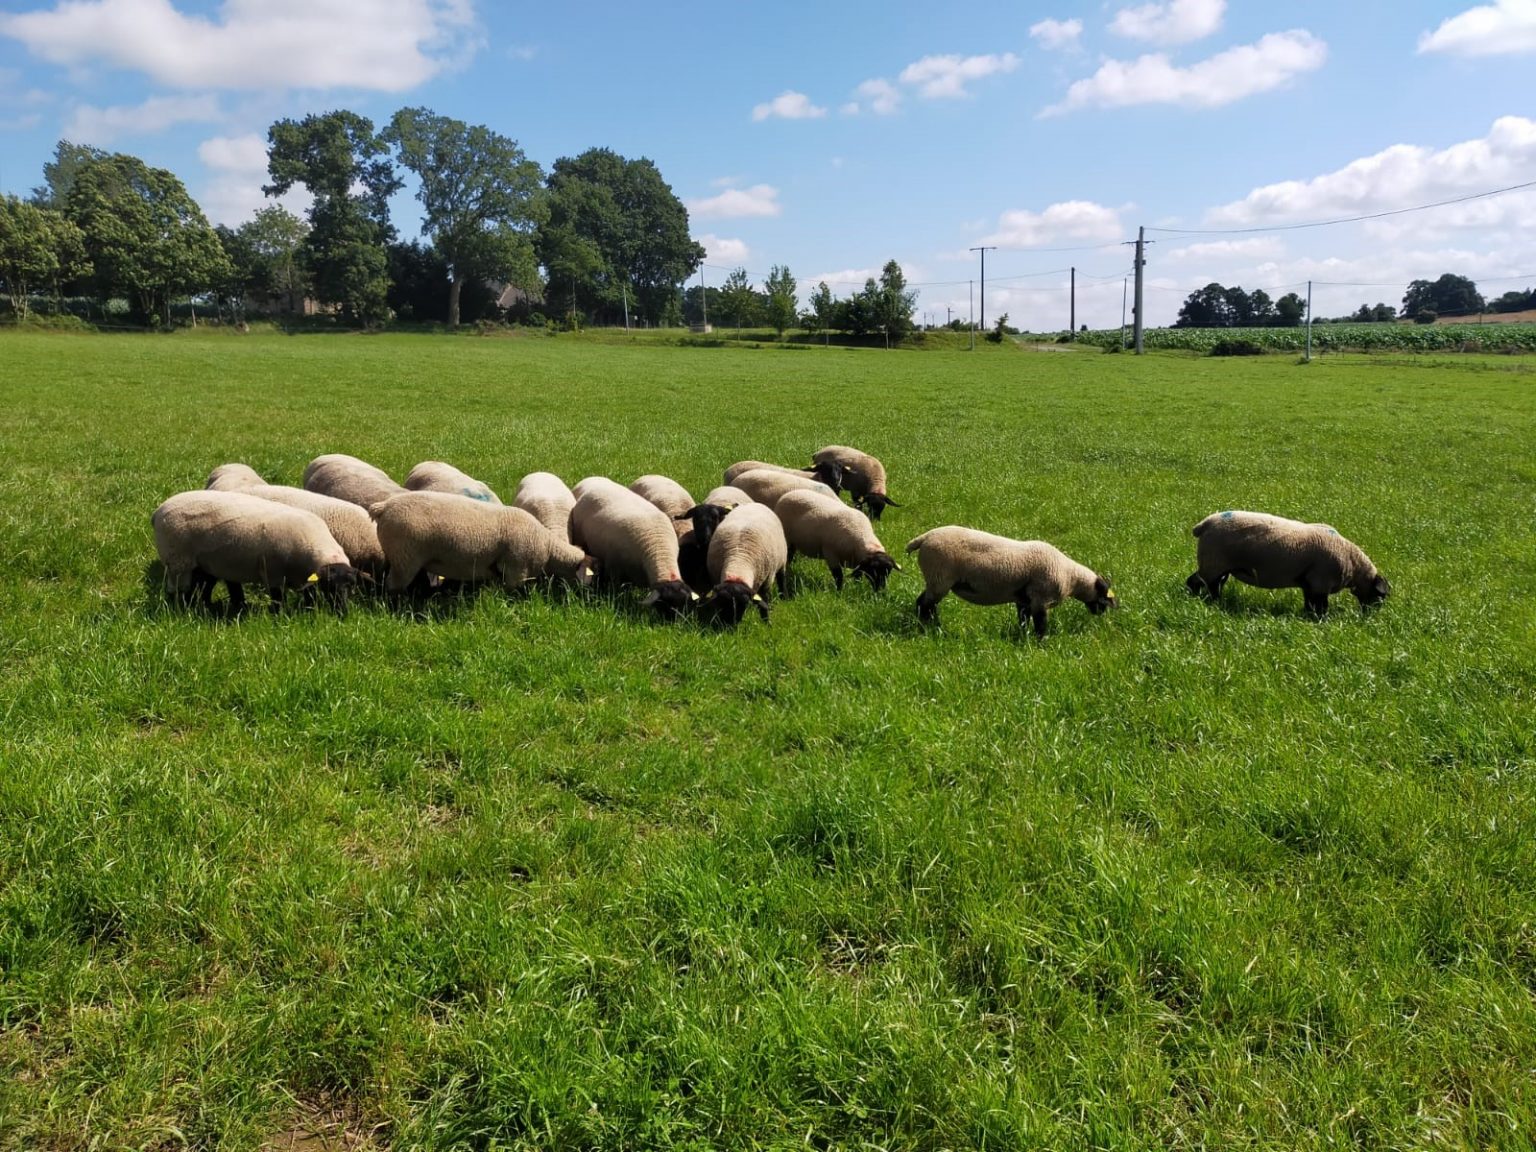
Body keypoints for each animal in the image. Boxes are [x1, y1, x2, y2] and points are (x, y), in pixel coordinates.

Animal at [152, 490, 360, 617]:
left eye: (351, 586)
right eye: (330, 586)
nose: (343, 613)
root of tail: (157, 511)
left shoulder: (303, 575)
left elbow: (309, 595)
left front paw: (309, 610)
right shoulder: (273, 572)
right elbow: (278, 598)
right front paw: (280, 616)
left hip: (203, 562)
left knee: (203, 586)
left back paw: (204, 607)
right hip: (177, 560)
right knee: (177, 589)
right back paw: (181, 611)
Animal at [370, 491, 594, 595]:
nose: (585, 592)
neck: (548, 547)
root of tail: (384, 506)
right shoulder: (516, 569)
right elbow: (512, 592)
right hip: (405, 558)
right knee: (393, 586)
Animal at [569, 478, 698, 615]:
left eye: (685, 605)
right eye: (667, 606)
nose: (677, 621)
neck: (660, 549)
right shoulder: (614, 567)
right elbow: (615, 588)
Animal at [905, 526, 1115, 637]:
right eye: (1104, 598)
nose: (1101, 614)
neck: (1071, 577)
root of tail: (924, 538)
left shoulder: (1024, 600)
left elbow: (1023, 620)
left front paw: (1023, 636)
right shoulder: (1041, 599)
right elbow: (1040, 624)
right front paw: (1041, 643)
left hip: (935, 581)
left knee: (924, 602)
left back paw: (932, 626)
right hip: (939, 578)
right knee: (925, 604)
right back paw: (930, 628)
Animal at [1185, 510, 1390, 616]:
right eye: (1380, 595)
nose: (1372, 616)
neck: (1353, 566)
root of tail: (1203, 525)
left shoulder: (1310, 583)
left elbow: (1310, 603)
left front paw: (1308, 616)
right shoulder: (1320, 582)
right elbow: (1321, 606)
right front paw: (1320, 620)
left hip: (1217, 565)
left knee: (1202, 582)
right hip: (1213, 562)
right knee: (1204, 584)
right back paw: (1212, 602)